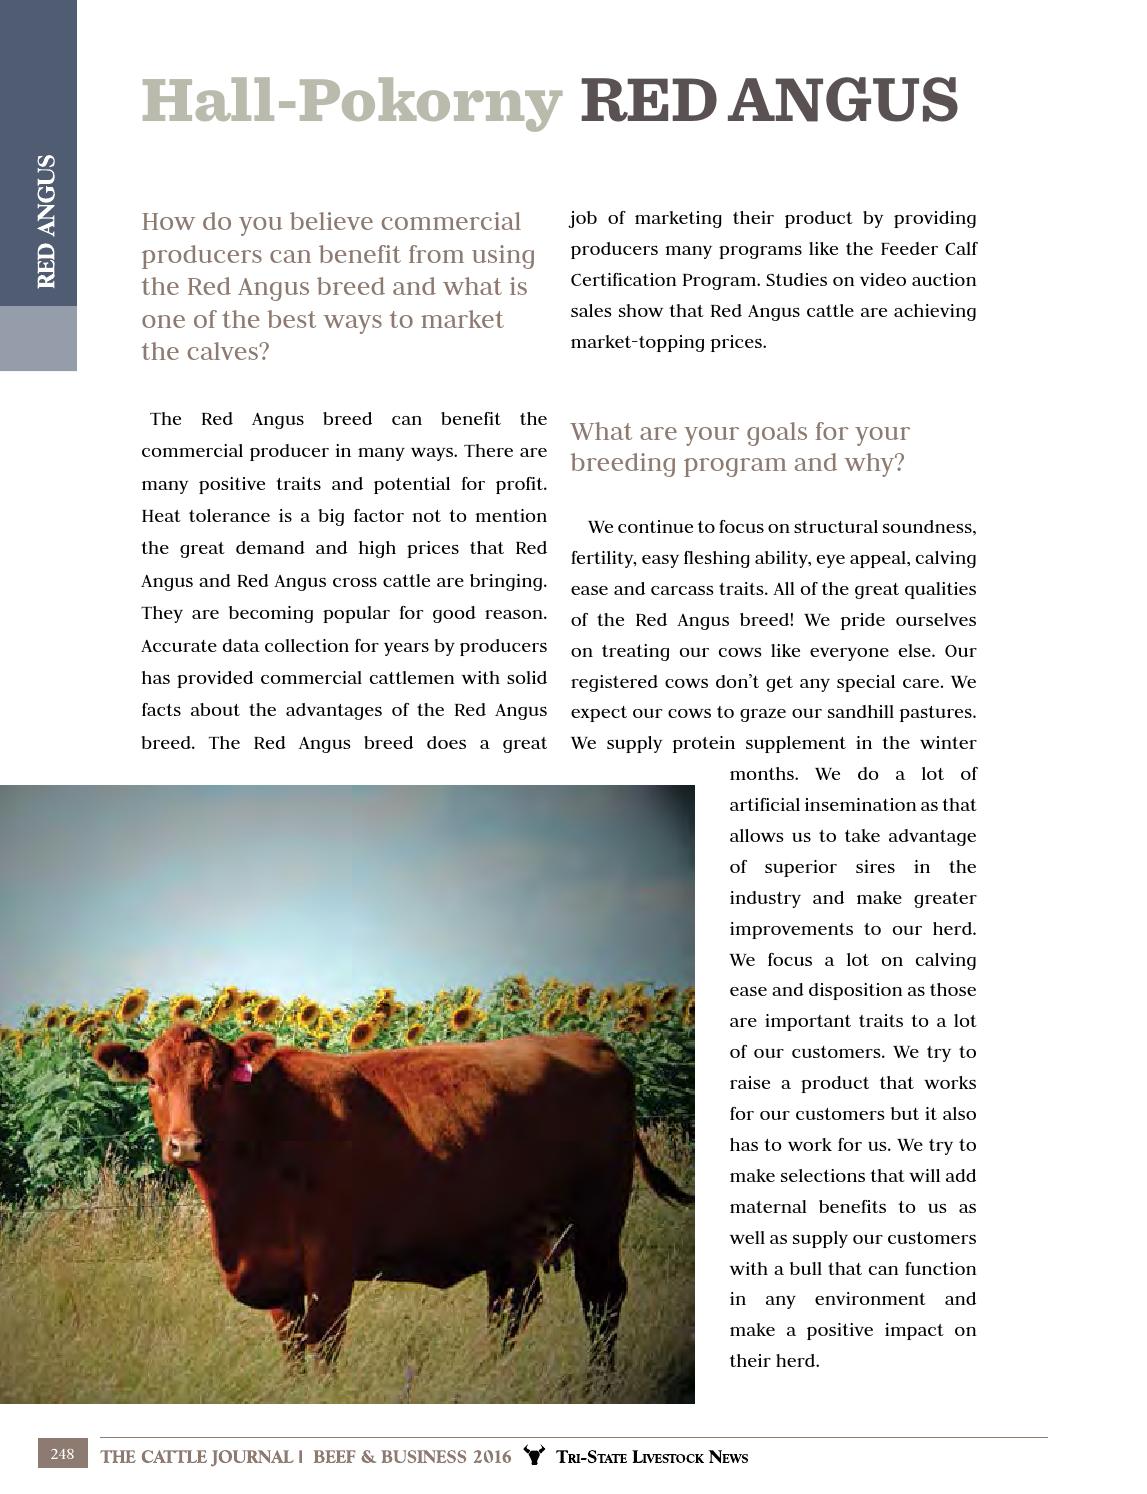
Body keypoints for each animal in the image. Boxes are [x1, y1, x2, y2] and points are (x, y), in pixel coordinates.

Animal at [93, 1022, 692, 1371]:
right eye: (153, 1082)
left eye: (218, 1078)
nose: (185, 1143)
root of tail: (590, 1043)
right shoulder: (277, 1277)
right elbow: (293, 1354)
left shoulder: (331, 1268)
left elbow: (324, 1349)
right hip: (513, 1237)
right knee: (512, 1309)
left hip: (598, 1222)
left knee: (602, 1301)